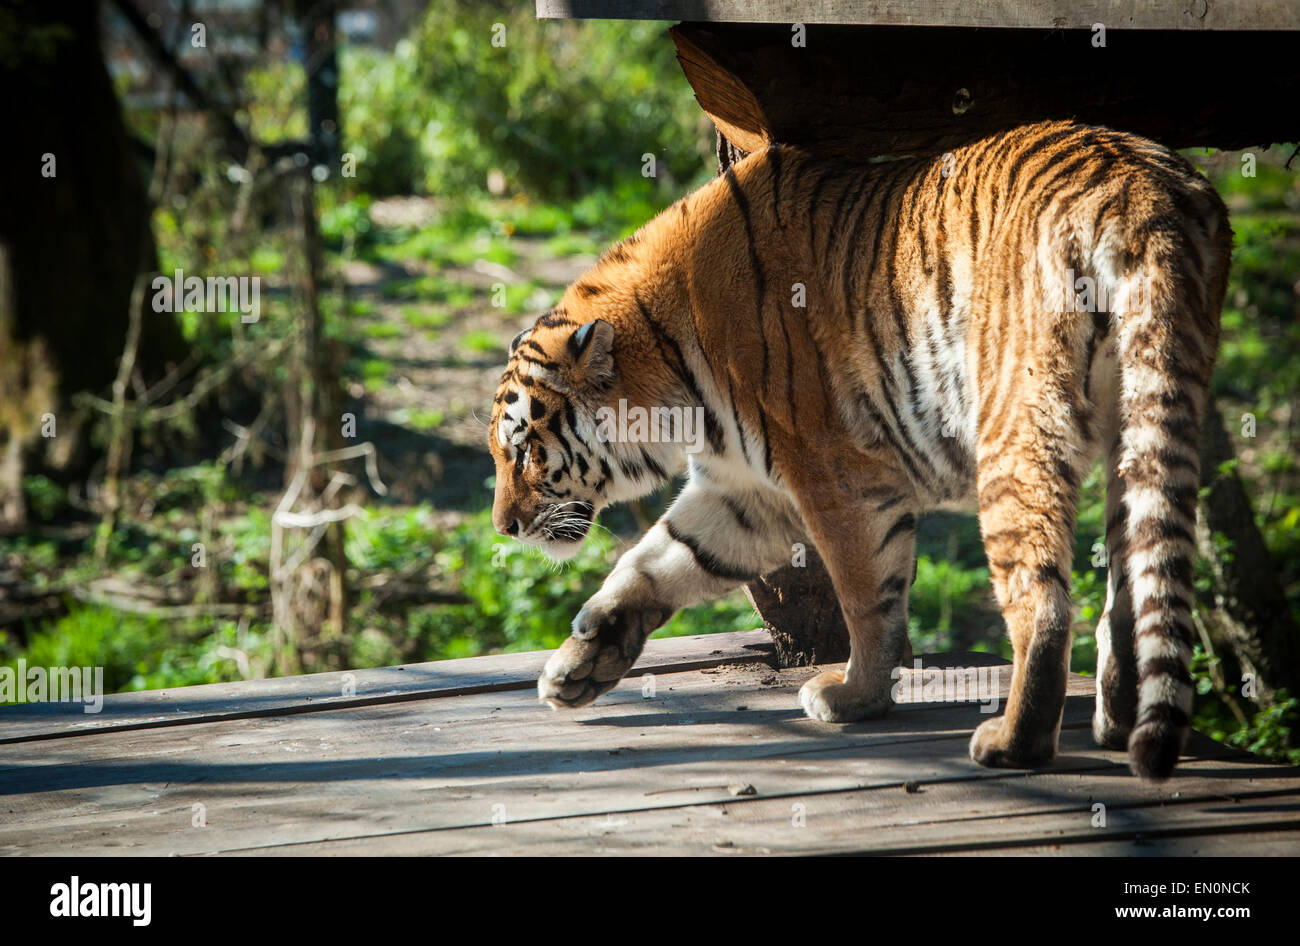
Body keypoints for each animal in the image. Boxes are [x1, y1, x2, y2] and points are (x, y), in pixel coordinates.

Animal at [488, 120, 1231, 781]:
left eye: (522, 450)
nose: (504, 526)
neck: (671, 368)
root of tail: (1143, 189)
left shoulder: (836, 478)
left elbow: (865, 599)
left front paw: (854, 697)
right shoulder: (746, 494)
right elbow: (656, 561)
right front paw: (580, 660)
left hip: (1015, 430)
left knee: (1044, 601)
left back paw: (1012, 743)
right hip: (1145, 422)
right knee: (1133, 584)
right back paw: (1115, 720)